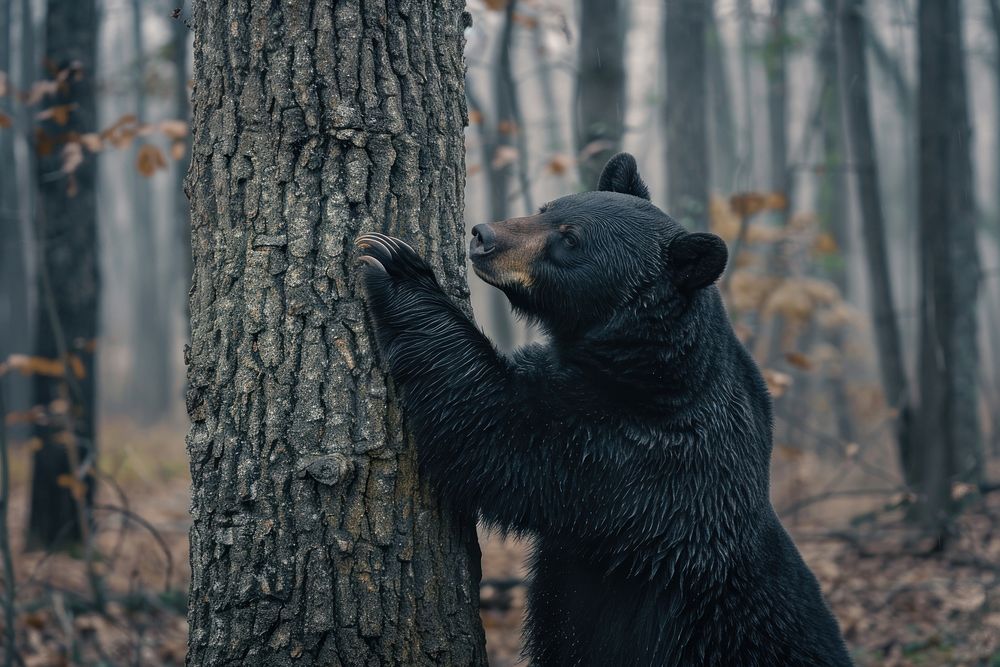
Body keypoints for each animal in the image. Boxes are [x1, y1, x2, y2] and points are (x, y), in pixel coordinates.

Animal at [356, 153, 852, 667]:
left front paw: (393, 263)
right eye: (546, 208)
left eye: (570, 239)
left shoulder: (632, 453)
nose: (482, 235)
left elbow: (497, 429)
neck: (645, 366)